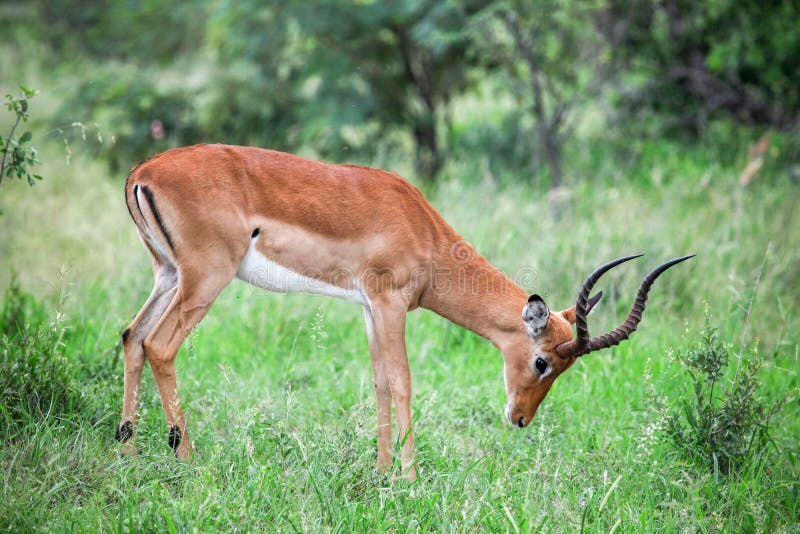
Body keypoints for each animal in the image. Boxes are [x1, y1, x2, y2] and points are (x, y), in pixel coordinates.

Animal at [117, 144, 692, 480]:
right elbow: (404, 382)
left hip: (168, 274)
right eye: (542, 361)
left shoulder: (370, 309)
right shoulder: (391, 303)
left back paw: (128, 452)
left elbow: (378, 383)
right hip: (206, 278)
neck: (423, 230)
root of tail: (143, 171)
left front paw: (381, 471)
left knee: (131, 336)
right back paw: (187, 459)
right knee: (160, 345)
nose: (521, 419)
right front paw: (410, 480)